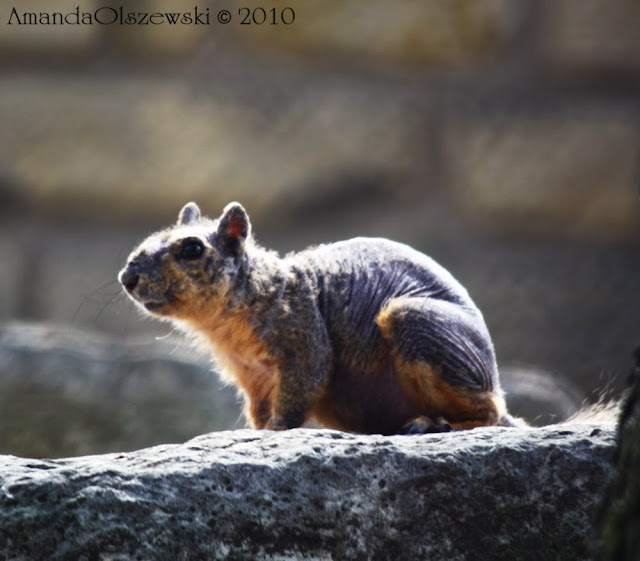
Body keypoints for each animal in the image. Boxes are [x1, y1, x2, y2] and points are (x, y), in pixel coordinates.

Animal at [119, 202, 522, 434]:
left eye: (192, 248)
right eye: (151, 236)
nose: (127, 277)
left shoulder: (304, 342)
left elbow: (296, 396)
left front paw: (275, 434)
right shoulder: (251, 377)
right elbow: (259, 411)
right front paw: (255, 434)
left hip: (423, 327)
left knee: (491, 413)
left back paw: (438, 424)